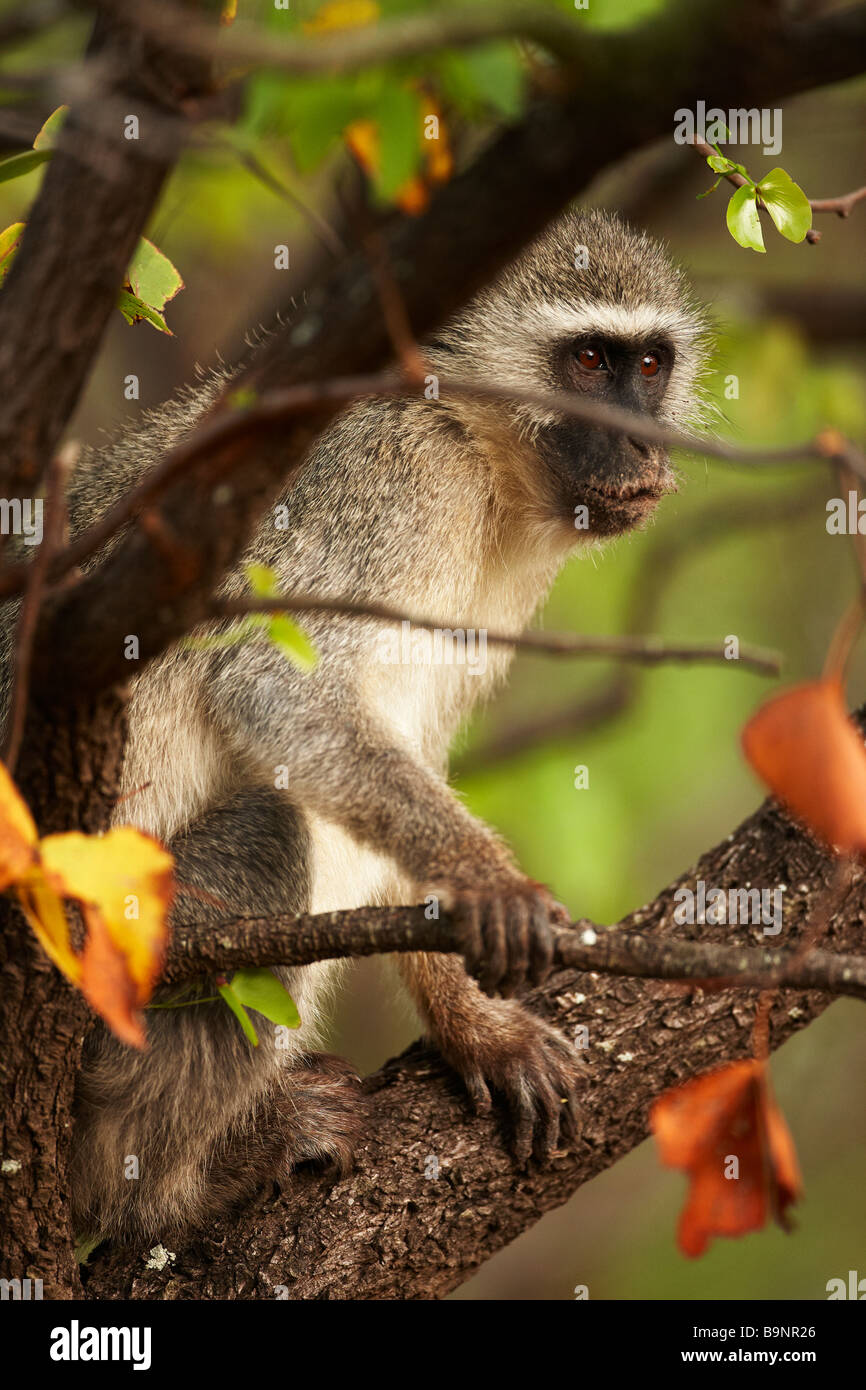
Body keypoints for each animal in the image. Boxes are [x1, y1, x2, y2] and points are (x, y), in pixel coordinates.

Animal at [6, 208, 711, 1243]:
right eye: (588, 361)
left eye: (650, 365)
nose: (643, 449)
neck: (469, 443)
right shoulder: (379, 486)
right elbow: (274, 690)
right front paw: (489, 884)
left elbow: (408, 745)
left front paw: (477, 1027)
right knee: (272, 834)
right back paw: (163, 1188)